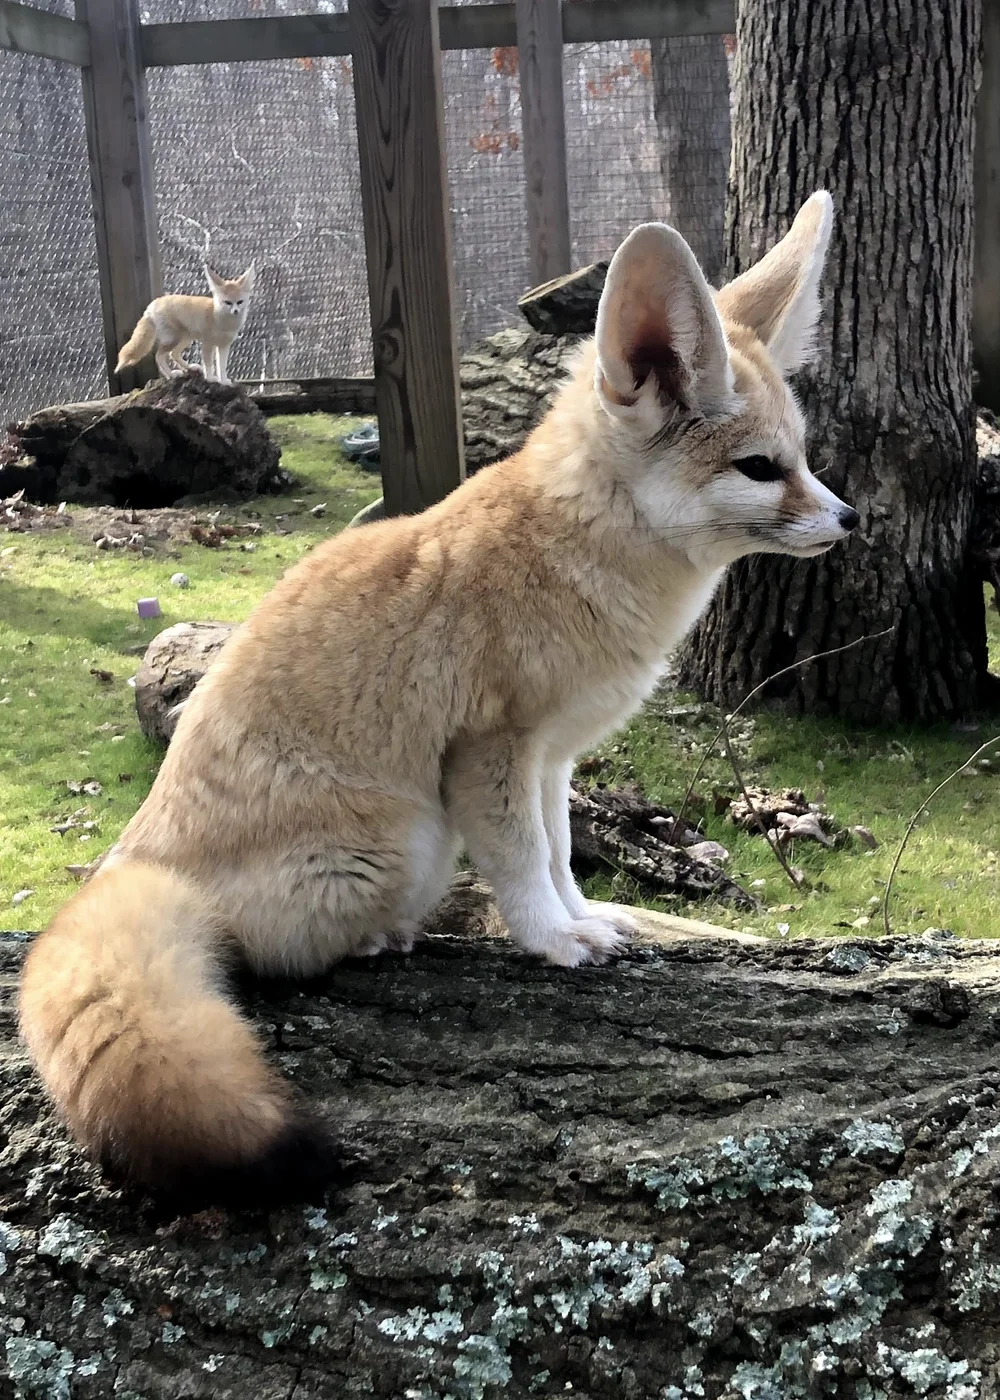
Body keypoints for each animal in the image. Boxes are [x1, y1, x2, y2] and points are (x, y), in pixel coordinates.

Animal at [114, 263, 256, 384]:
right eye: (227, 302)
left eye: (240, 302)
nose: (235, 311)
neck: (221, 321)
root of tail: (151, 305)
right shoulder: (208, 344)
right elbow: (209, 364)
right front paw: (210, 378)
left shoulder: (224, 346)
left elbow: (222, 366)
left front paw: (224, 381)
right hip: (174, 339)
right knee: (159, 356)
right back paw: (171, 375)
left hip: (185, 339)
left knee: (174, 354)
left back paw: (190, 368)